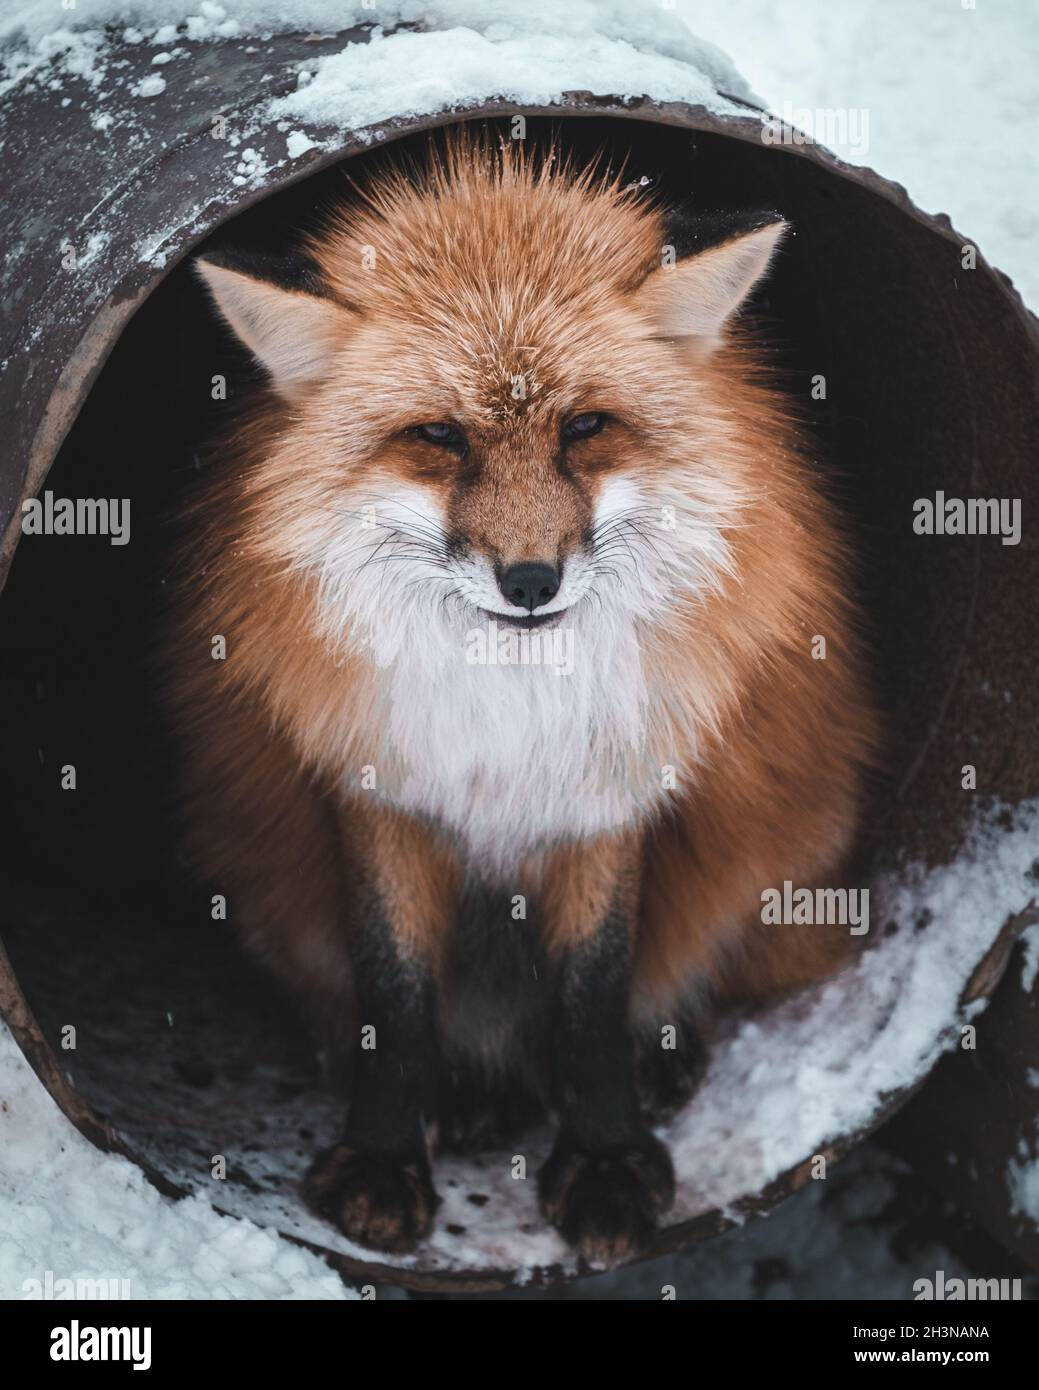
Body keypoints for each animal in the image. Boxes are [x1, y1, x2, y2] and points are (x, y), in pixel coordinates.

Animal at [166, 133, 878, 1268]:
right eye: (439, 437)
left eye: (586, 426)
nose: (531, 581)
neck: (509, 720)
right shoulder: (381, 793)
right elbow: (393, 999)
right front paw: (381, 1158)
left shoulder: (606, 795)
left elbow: (592, 995)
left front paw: (605, 1162)